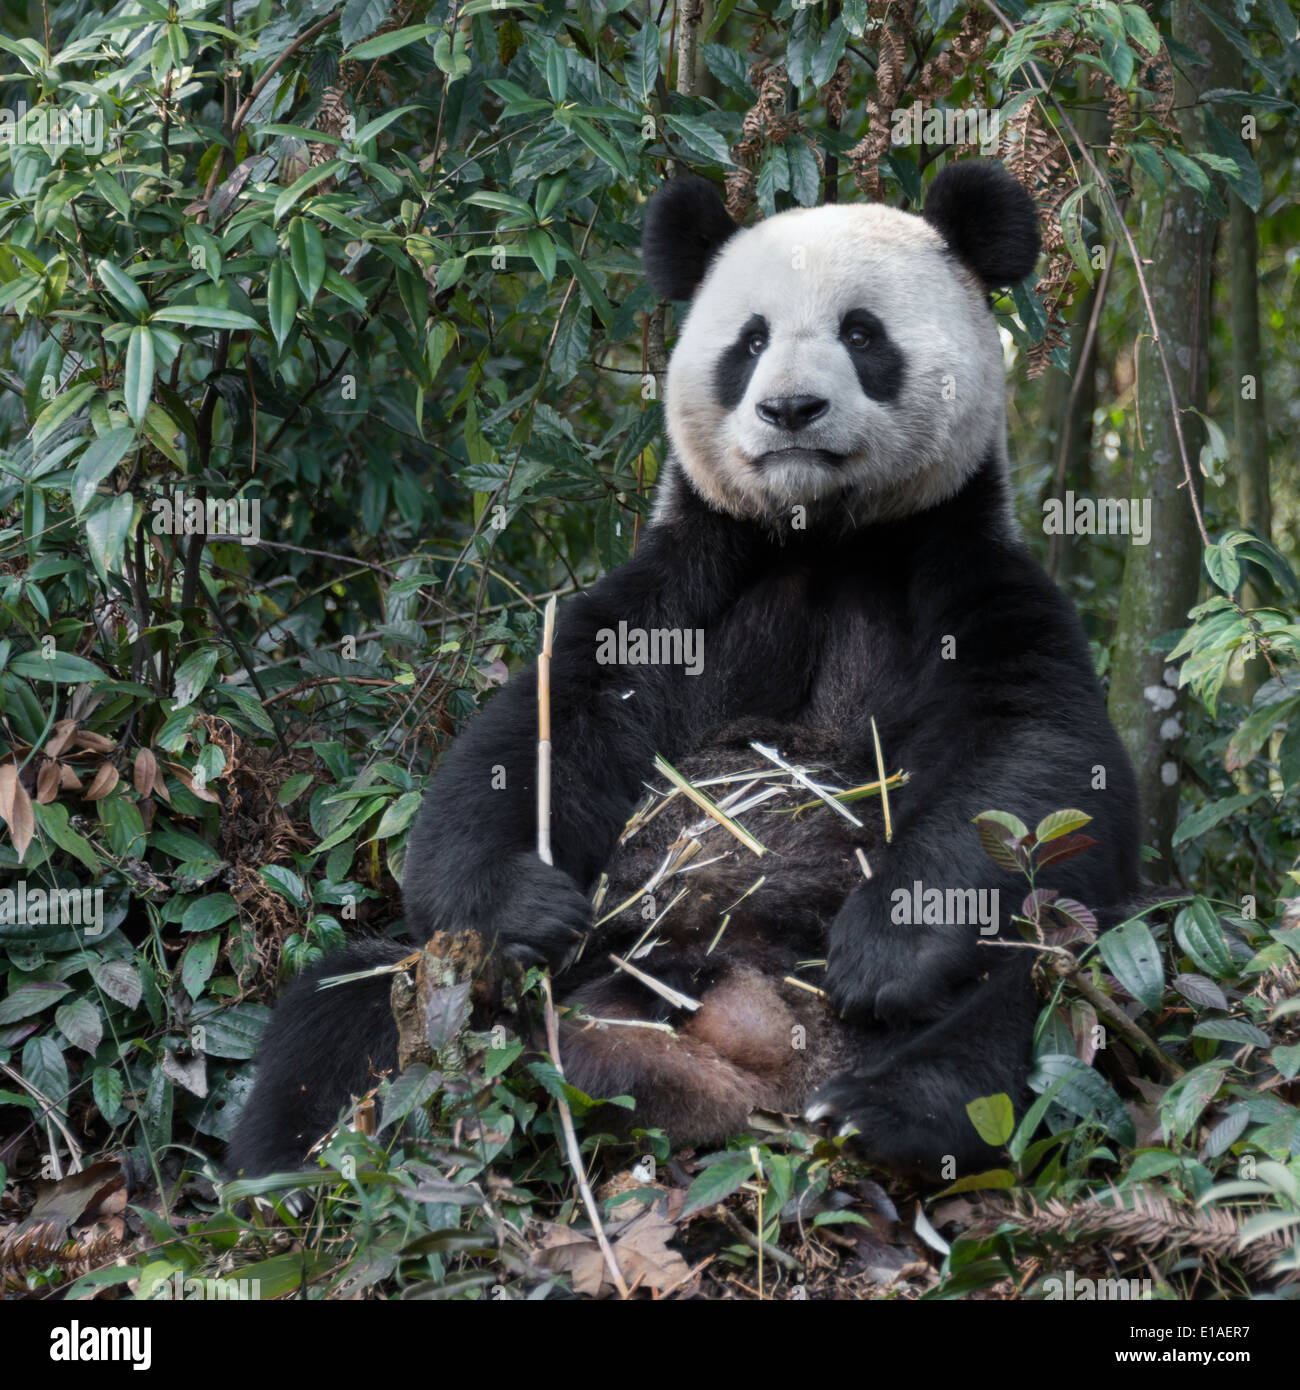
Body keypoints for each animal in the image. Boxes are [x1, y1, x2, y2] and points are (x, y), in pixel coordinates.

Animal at [226, 161, 1140, 1182]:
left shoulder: (965, 568)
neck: (825, 536)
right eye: (751, 342)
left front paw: (883, 949)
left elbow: (1036, 754)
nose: (790, 411)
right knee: (340, 1004)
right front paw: (528, 909)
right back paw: (282, 1174)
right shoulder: (686, 584)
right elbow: (537, 732)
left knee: (1046, 984)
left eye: (863, 335)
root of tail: (752, 1068)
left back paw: (889, 1112)